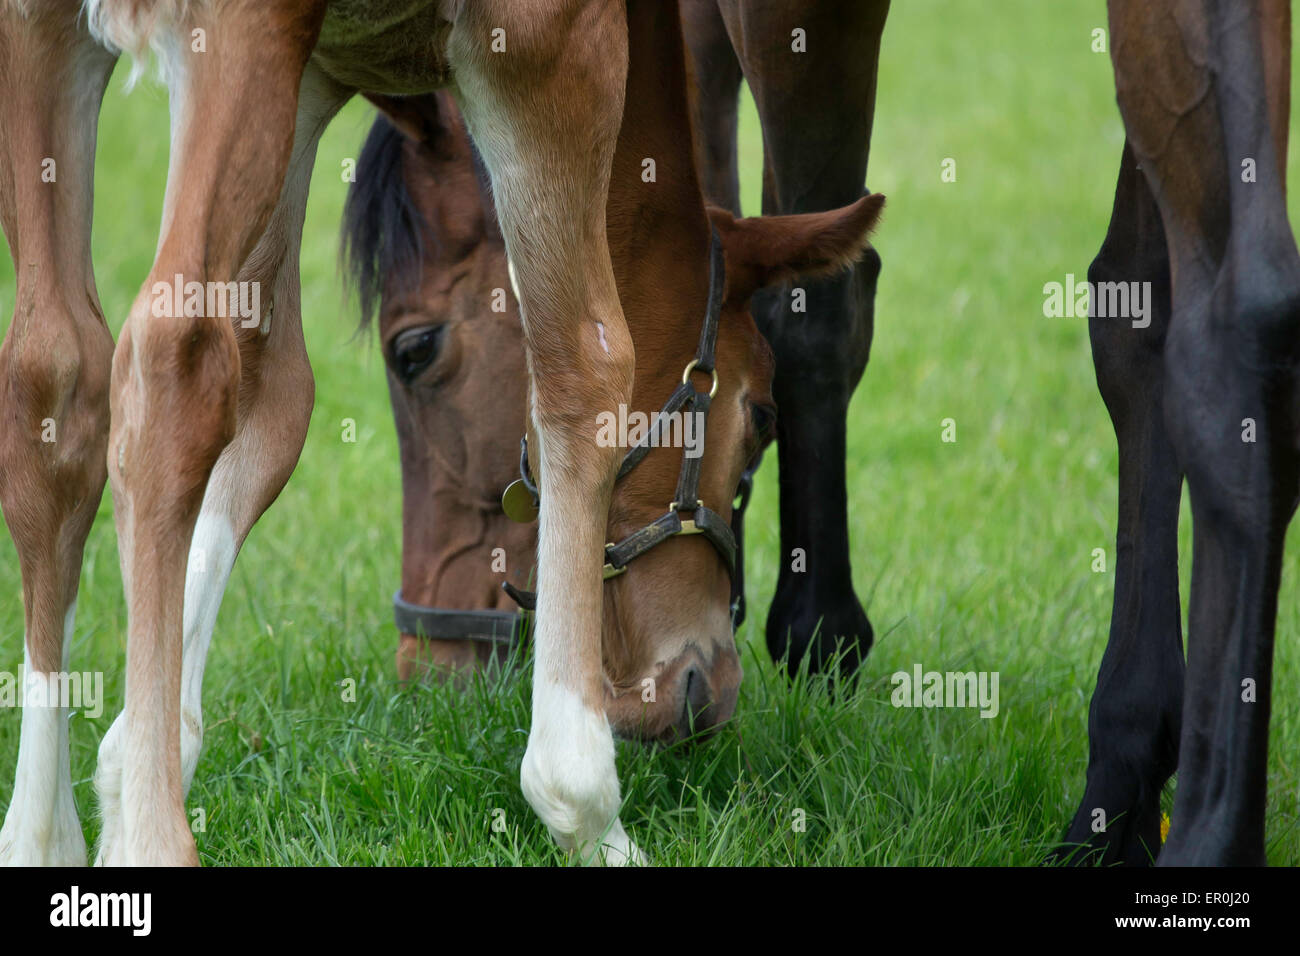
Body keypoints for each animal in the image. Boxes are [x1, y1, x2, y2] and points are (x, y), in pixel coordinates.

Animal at [0, 0, 882, 865]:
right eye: (762, 416)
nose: (702, 688)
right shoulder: (552, 43)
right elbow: (587, 363)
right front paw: (586, 807)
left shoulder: (312, 76)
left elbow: (274, 399)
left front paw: (130, 762)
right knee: (170, 362)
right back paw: (155, 840)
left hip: (53, 38)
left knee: (57, 377)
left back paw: (44, 838)